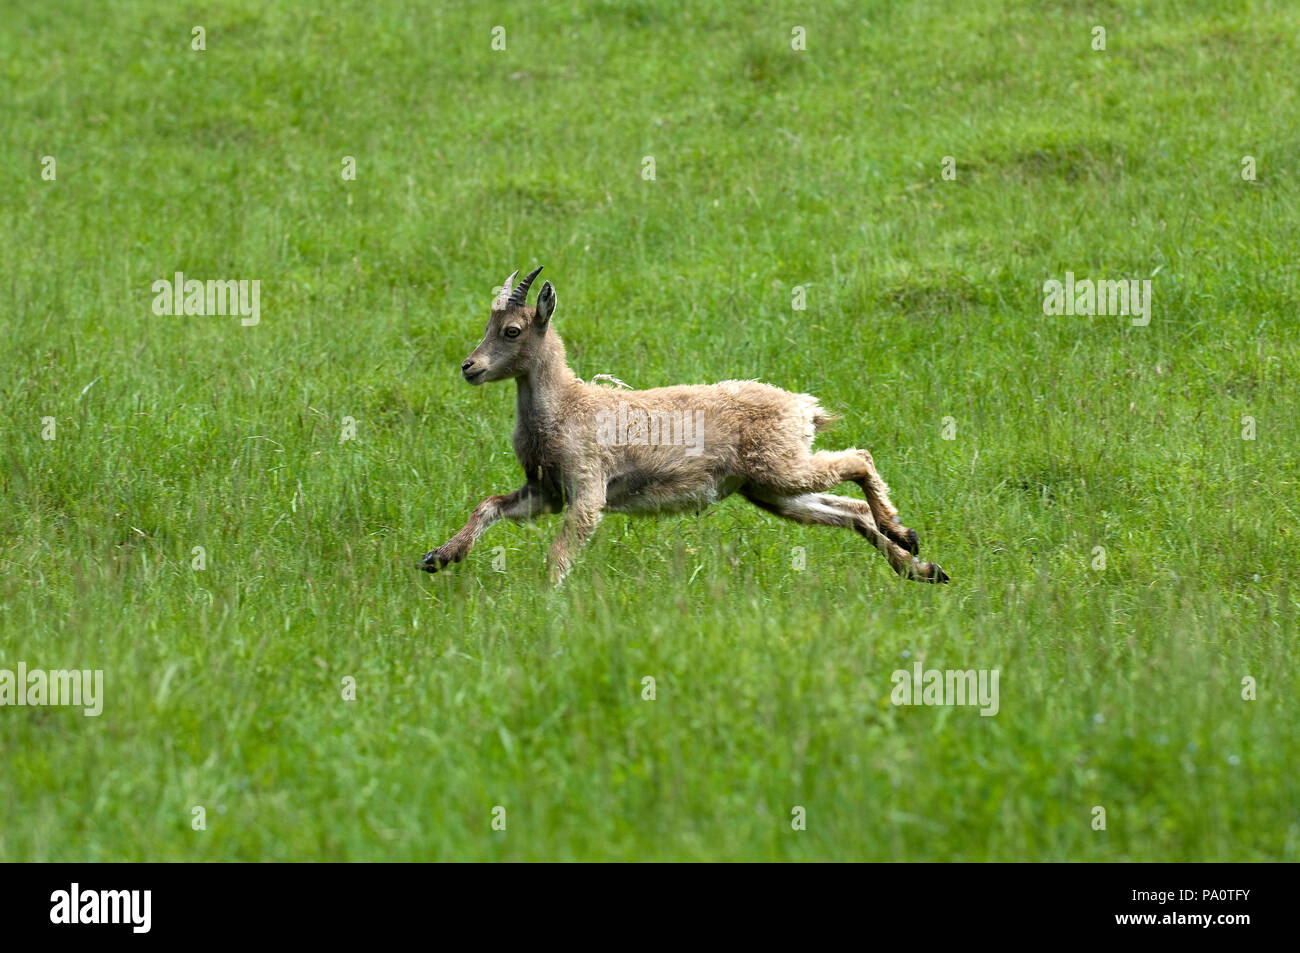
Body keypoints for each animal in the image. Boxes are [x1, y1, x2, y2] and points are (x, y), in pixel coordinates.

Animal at [419, 266, 949, 585]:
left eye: (511, 330)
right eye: (487, 327)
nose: (469, 367)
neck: (566, 408)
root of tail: (804, 407)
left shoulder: (587, 489)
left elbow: (559, 554)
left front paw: (548, 603)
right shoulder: (547, 491)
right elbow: (489, 504)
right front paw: (438, 557)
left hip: (779, 468)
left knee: (859, 459)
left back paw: (906, 538)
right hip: (769, 491)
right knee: (848, 510)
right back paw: (921, 567)